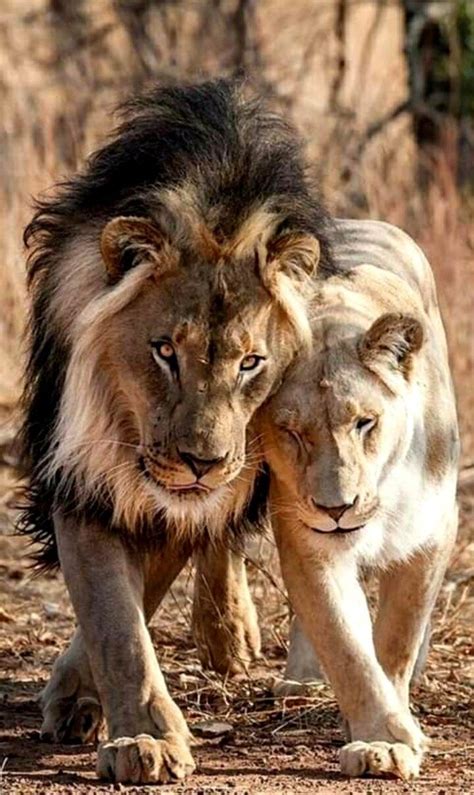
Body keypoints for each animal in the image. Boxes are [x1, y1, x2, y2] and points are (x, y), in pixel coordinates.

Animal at [19, 78, 331, 784]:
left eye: (251, 362)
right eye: (164, 350)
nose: (201, 462)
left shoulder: (189, 490)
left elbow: (156, 576)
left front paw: (85, 697)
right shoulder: (81, 473)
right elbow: (116, 621)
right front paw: (144, 738)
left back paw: (227, 634)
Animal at [257, 218, 459, 780]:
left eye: (365, 422)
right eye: (292, 433)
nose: (336, 508)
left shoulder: (434, 532)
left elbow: (395, 639)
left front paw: (395, 726)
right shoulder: (305, 538)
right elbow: (344, 643)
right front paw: (381, 740)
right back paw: (301, 682)